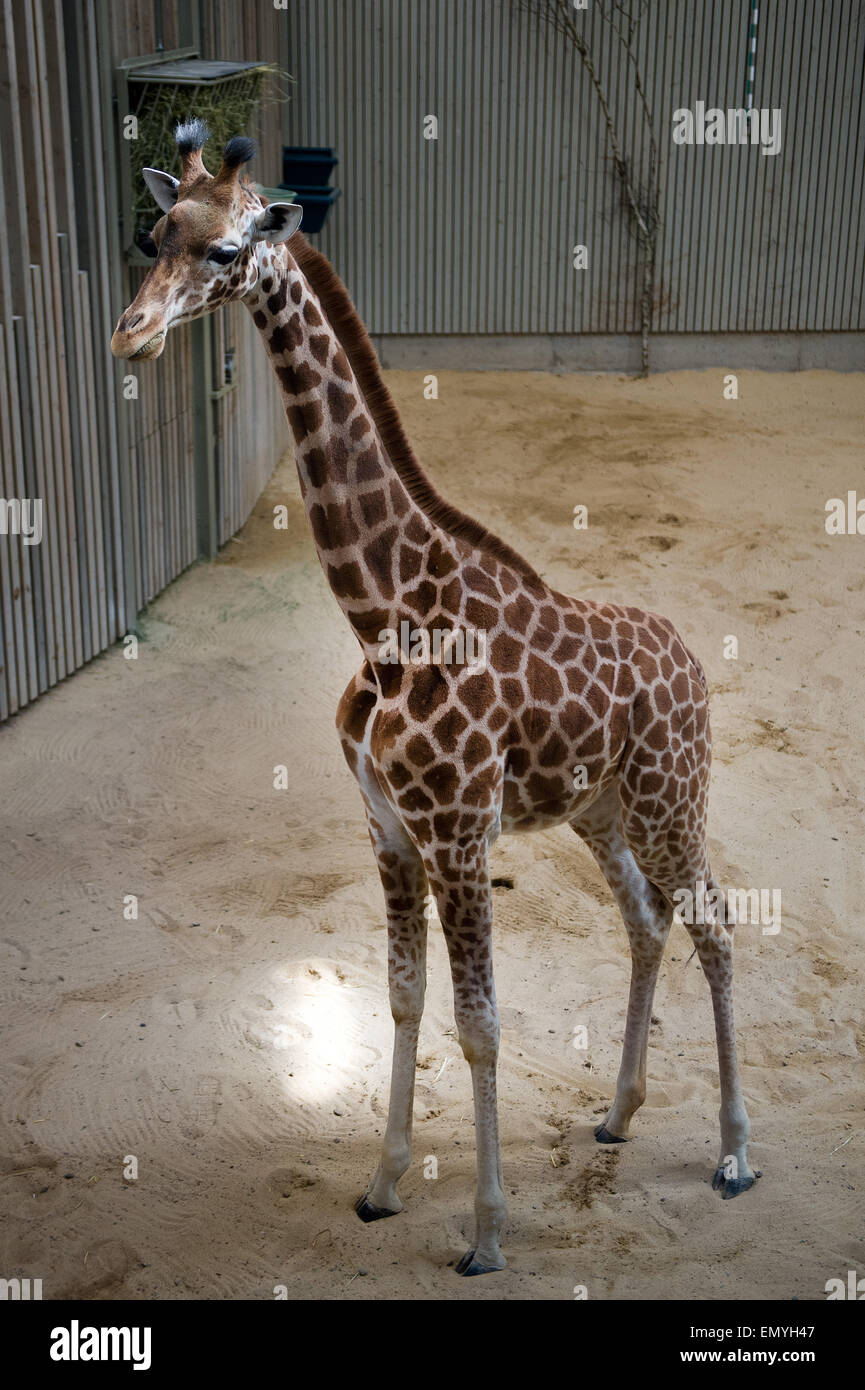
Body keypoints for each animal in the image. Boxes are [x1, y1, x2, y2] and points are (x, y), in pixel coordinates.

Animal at [111, 122, 758, 1276]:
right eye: (155, 234)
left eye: (226, 250)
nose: (129, 339)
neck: (385, 615)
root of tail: (690, 658)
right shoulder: (386, 826)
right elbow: (403, 998)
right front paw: (380, 1185)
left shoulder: (457, 834)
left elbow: (481, 1022)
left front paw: (486, 1234)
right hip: (599, 810)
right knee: (645, 921)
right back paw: (618, 1114)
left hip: (671, 798)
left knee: (716, 926)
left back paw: (732, 1153)